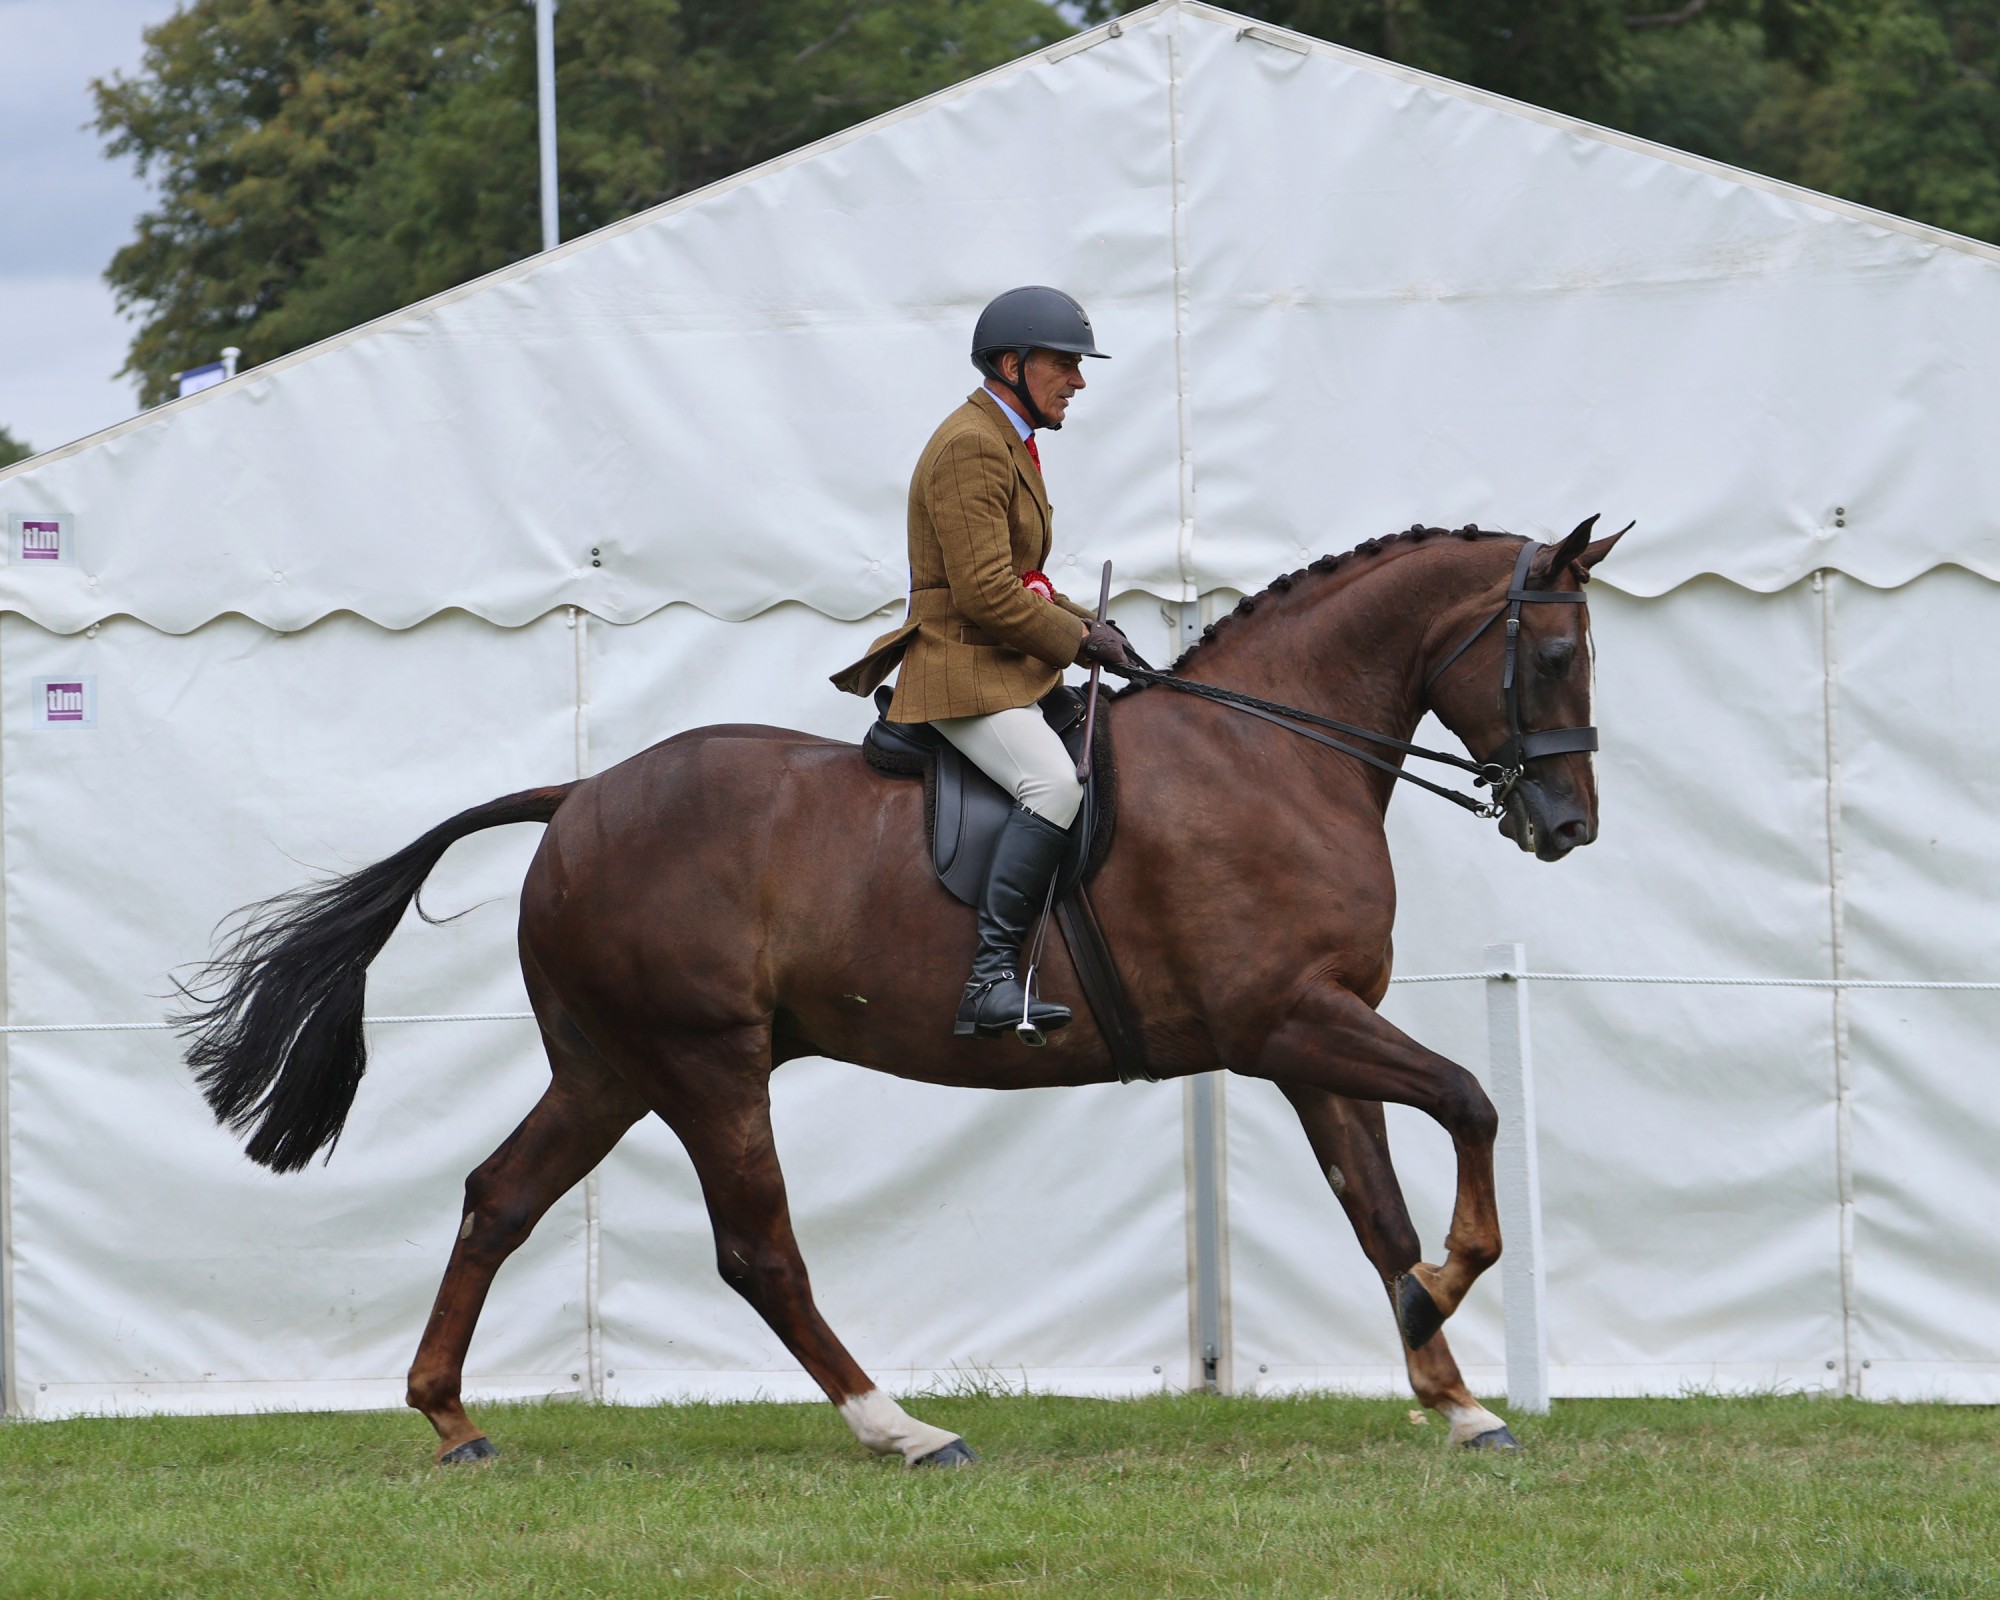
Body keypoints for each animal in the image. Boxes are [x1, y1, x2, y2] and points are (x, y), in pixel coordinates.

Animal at [178, 517, 1622, 1467]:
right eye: (1554, 658)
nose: (1567, 827)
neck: (1268, 748)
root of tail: (578, 795)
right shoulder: (1288, 1018)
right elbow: (1471, 1102)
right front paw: (1451, 1288)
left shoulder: (1309, 1032)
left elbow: (1377, 1211)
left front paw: (1453, 1390)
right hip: (705, 1062)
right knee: (756, 1250)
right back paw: (902, 1427)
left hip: (608, 1068)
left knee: (500, 1199)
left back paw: (450, 1417)